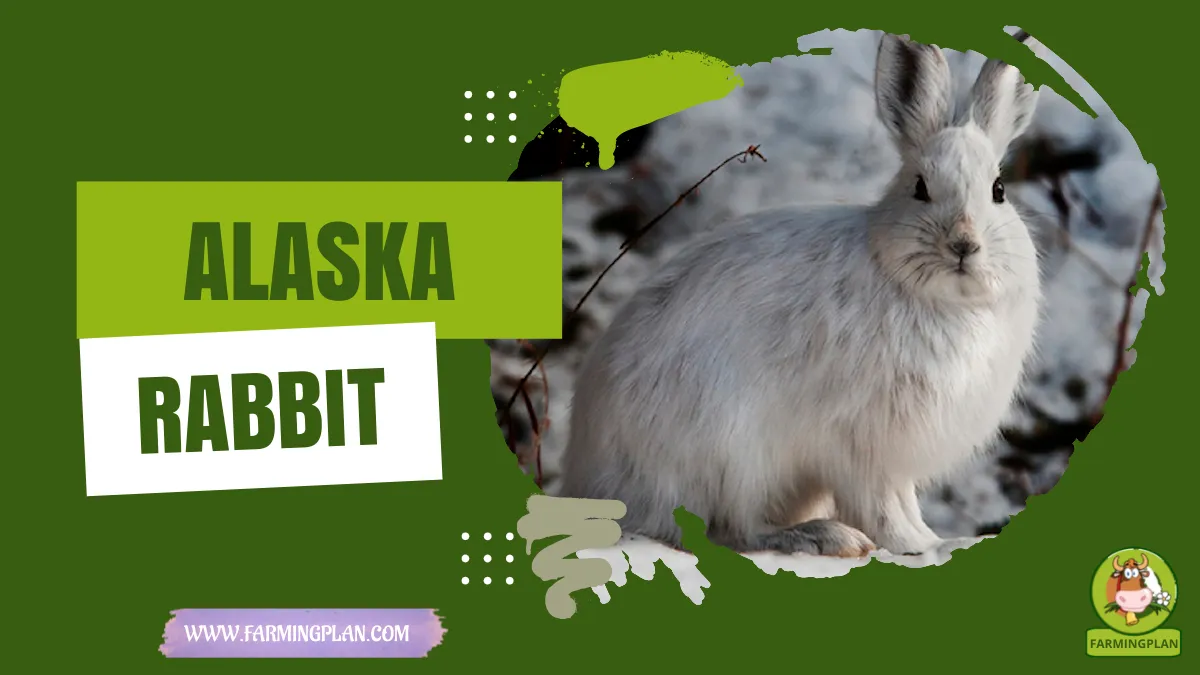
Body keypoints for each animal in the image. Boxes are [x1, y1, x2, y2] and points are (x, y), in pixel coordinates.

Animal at [557, 33, 1043, 557]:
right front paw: (916, 546)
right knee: (733, 531)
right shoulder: (862, 444)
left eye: (998, 190)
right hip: (731, 454)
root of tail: (596, 488)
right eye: (920, 188)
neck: (942, 299)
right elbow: (882, 505)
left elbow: (904, 501)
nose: (964, 245)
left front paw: (931, 540)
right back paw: (824, 537)